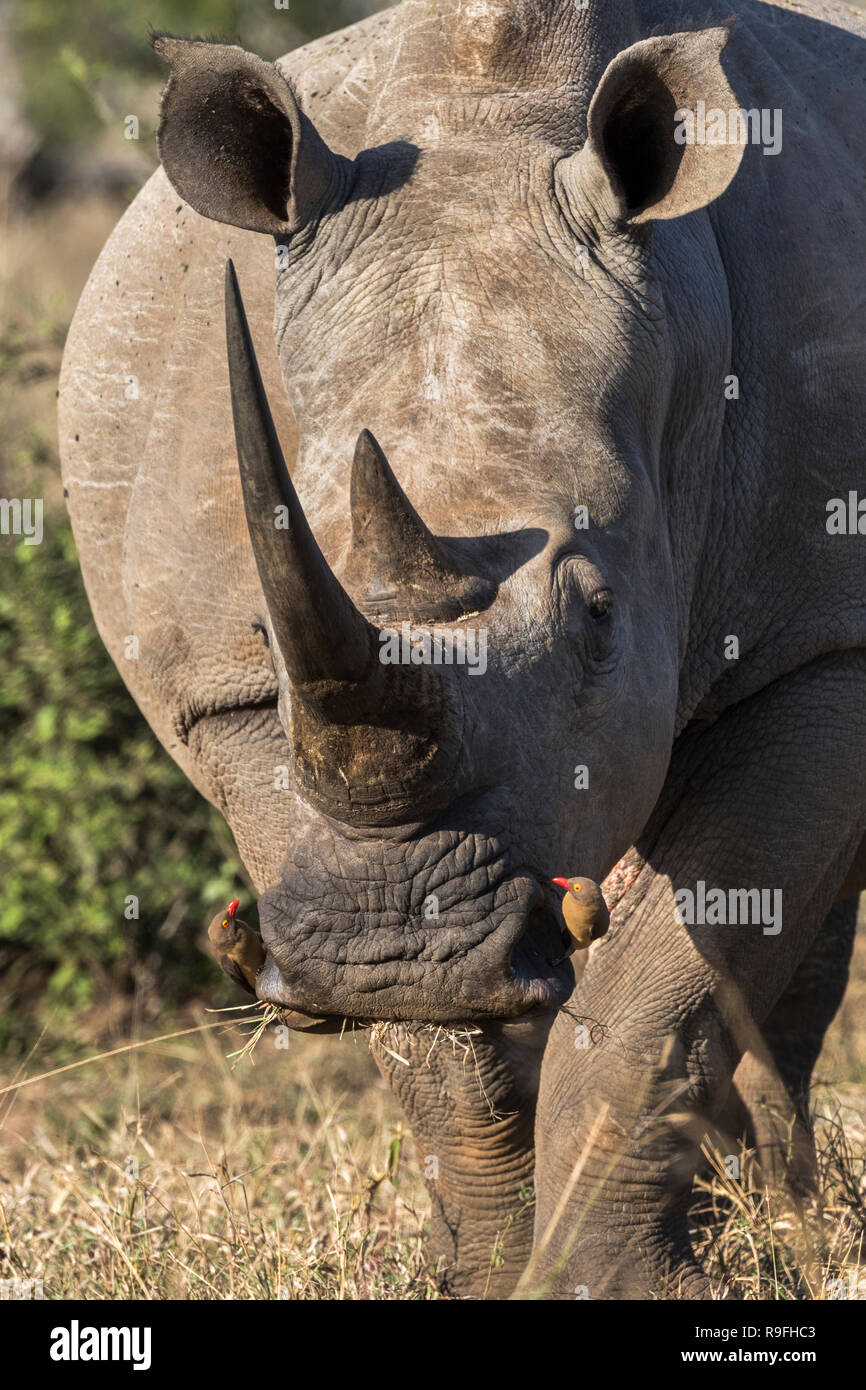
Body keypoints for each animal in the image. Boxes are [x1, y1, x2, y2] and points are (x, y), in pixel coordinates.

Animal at [59, 0, 866, 1298]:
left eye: (597, 616)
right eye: (264, 624)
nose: (390, 945)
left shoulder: (825, 643)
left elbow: (665, 982)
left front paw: (608, 1281)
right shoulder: (232, 701)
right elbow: (442, 1050)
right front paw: (489, 1272)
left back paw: (776, 1219)